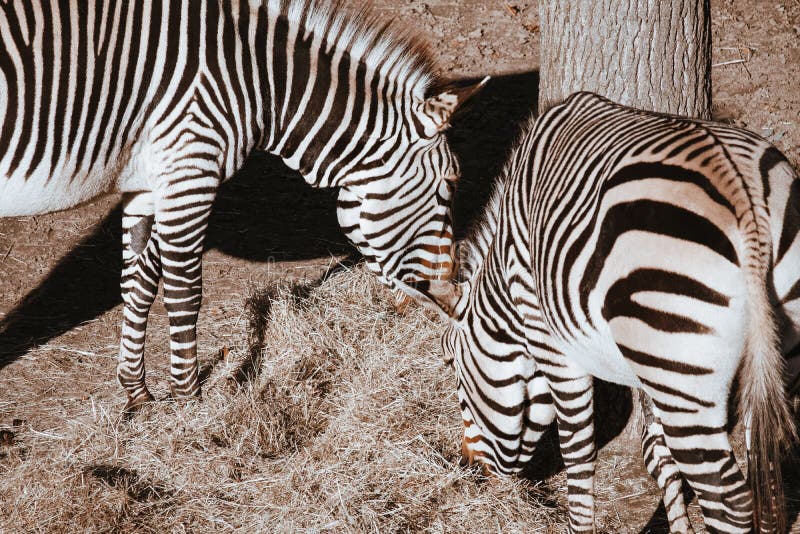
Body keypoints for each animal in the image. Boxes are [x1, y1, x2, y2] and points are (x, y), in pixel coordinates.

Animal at [0, 0, 487, 412]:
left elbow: (138, 282)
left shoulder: (150, 181)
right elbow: (184, 290)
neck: (261, 82)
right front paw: (191, 402)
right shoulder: (192, 164)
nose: (450, 295)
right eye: (451, 182)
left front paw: (137, 391)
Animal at [399, 92, 800, 533]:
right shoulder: (643, 364)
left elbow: (577, 450)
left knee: (729, 502)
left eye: (451, 368)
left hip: (683, 376)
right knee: (762, 473)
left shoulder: (552, 344)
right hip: (766, 354)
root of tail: (740, 187)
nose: (470, 468)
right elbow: (655, 452)